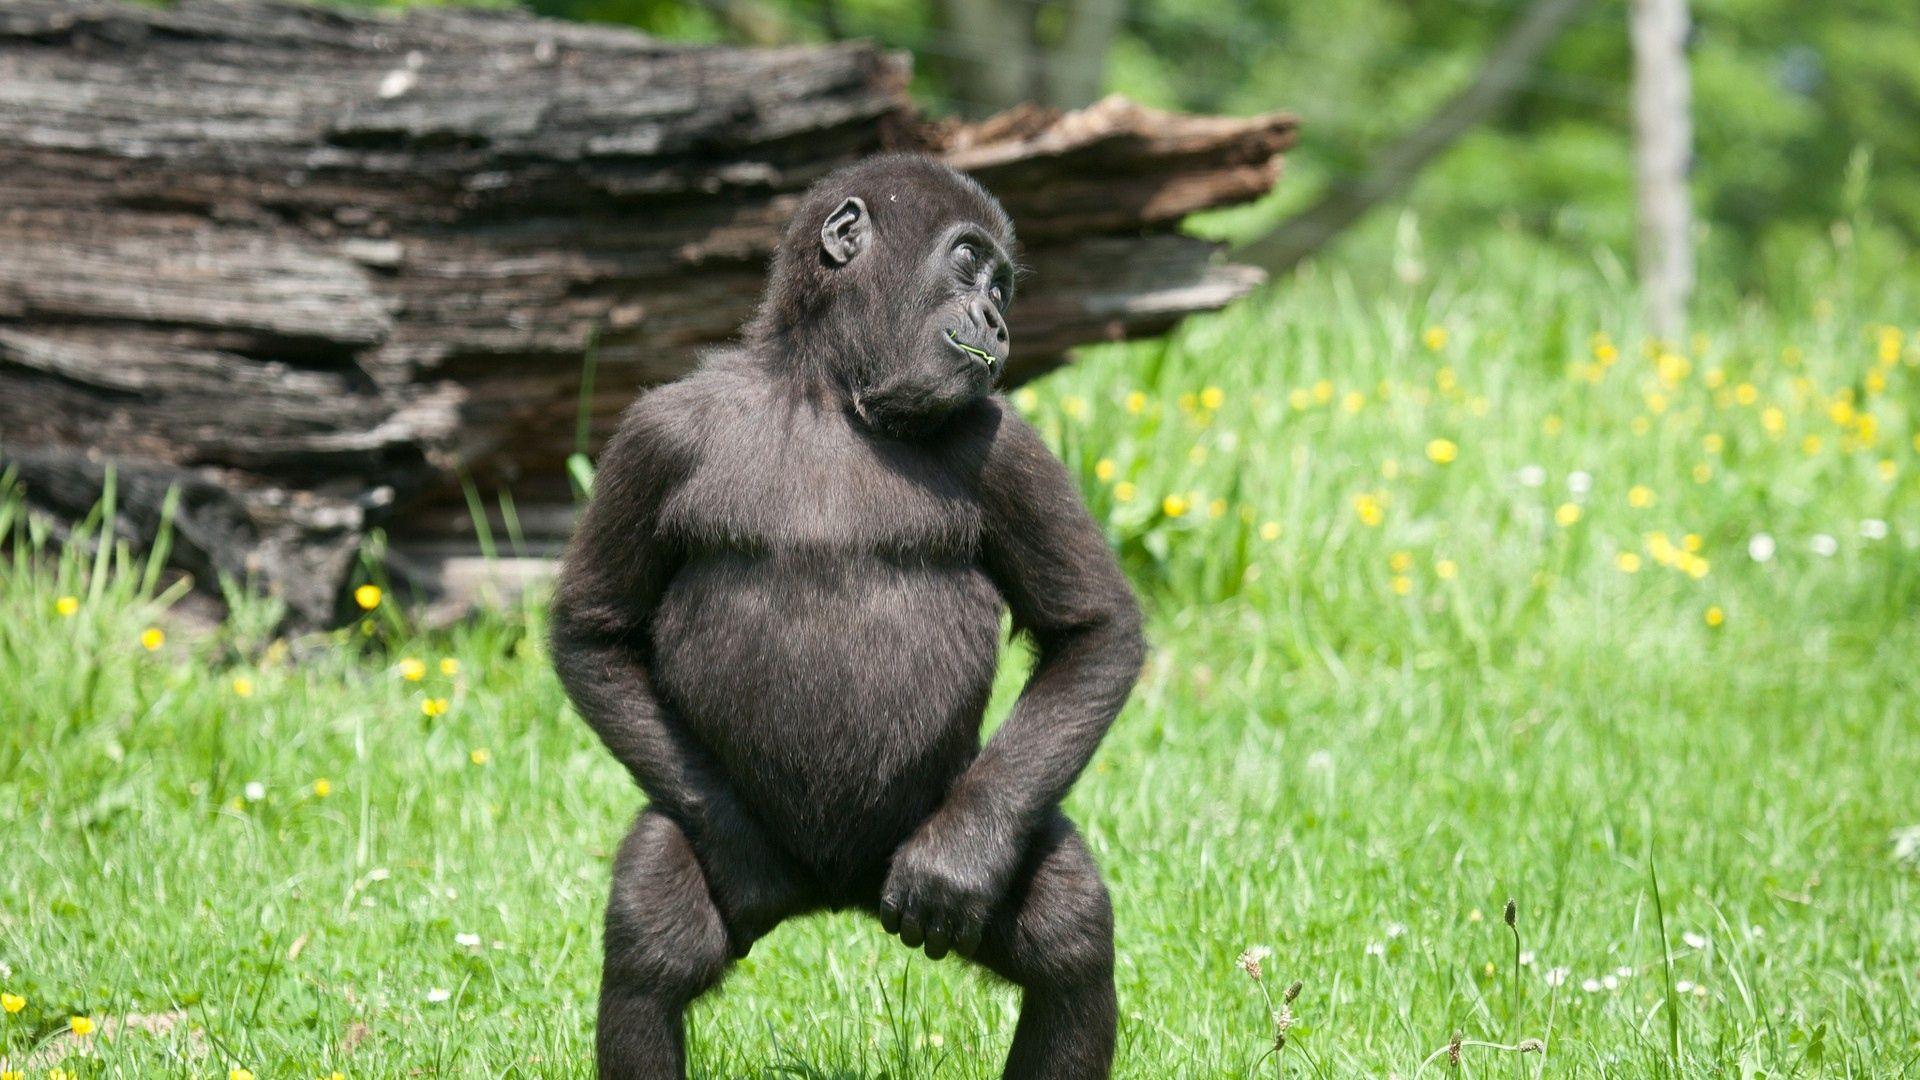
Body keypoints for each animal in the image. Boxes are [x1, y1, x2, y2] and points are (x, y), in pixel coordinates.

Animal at [549, 153, 1146, 1080]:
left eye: (1003, 287)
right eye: (969, 263)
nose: (996, 319)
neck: (829, 389)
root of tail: (835, 892)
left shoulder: (1004, 440)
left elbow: (1094, 630)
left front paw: (955, 864)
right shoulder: (657, 435)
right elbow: (594, 630)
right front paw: (740, 857)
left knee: (1068, 926)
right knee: (652, 930)